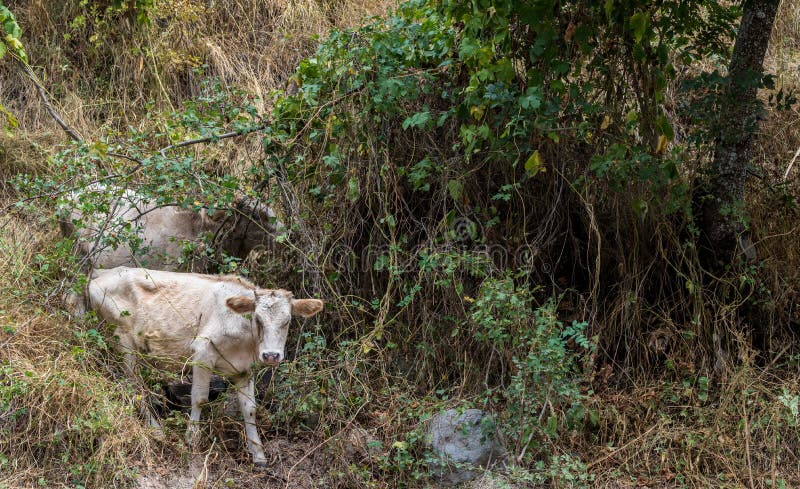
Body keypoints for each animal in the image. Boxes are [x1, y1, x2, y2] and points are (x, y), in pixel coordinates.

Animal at [87, 266, 323, 466]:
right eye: (257, 319)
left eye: (287, 321)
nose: (271, 355)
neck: (244, 337)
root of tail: (102, 272)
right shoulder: (202, 352)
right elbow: (200, 398)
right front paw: (192, 439)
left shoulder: (244, 369)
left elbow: (250, 409)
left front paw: (258, 454)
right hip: (123, 341)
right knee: (133, 386)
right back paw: (156, 430)